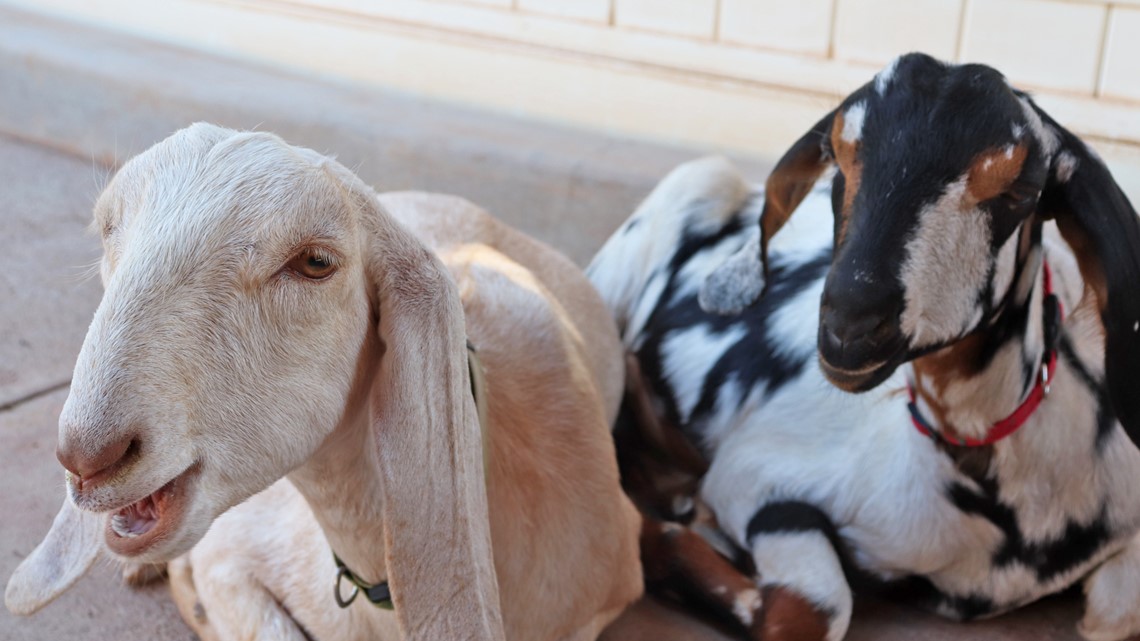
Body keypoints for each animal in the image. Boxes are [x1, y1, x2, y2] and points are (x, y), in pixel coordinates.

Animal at [587, 53, 1140, 641]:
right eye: (838, 157)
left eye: (1020, 189)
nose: (849, 324)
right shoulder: (752, 478)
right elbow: (816, 608)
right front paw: (652, 533)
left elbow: (1114, 611)